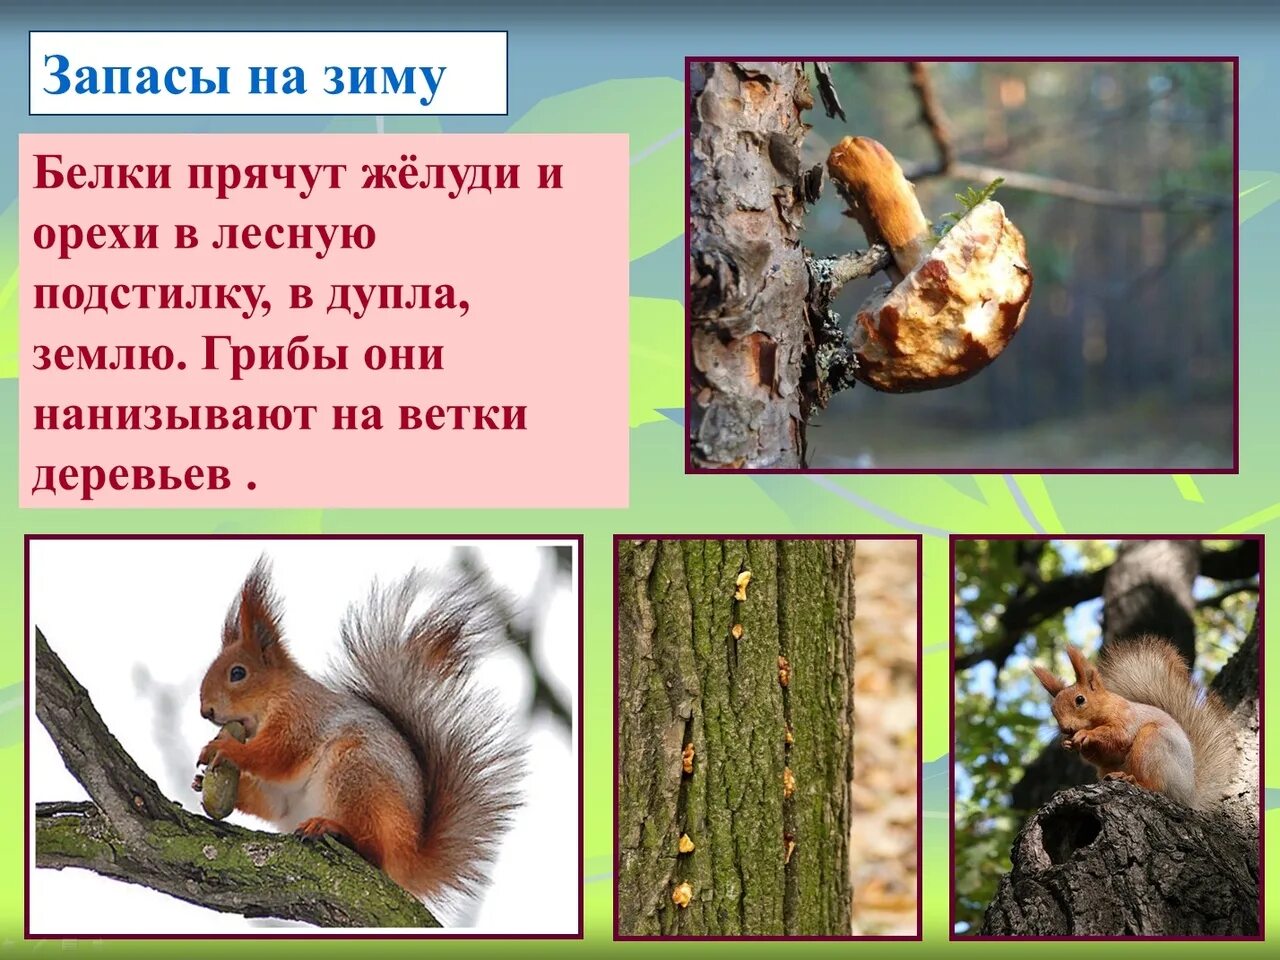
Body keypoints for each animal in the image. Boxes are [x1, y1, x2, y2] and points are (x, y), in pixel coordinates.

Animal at [193, 558, 523, 904]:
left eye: (238, 673)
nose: (206, 711)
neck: (274, 697)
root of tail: (408, 854)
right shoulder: (280, 793)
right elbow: (271, 799)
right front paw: (207, 781)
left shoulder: (302, 717)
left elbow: (277, 755)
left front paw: (225, 749)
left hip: (357, 772)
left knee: (373, 851)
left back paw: (336, 830)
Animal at [1031, 636, 1237, 809]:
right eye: (1053, 710)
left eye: (1080, 700)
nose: (1066, 728)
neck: (1104, 709)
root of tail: (1188, 795)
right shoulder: (1105, 757)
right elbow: (1101, 756)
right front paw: (1067, 743)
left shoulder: (1127, 717)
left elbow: (1119, 736)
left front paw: (1085, 735)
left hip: (1152, 744)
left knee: (1156, 786)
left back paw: (1132, 780)